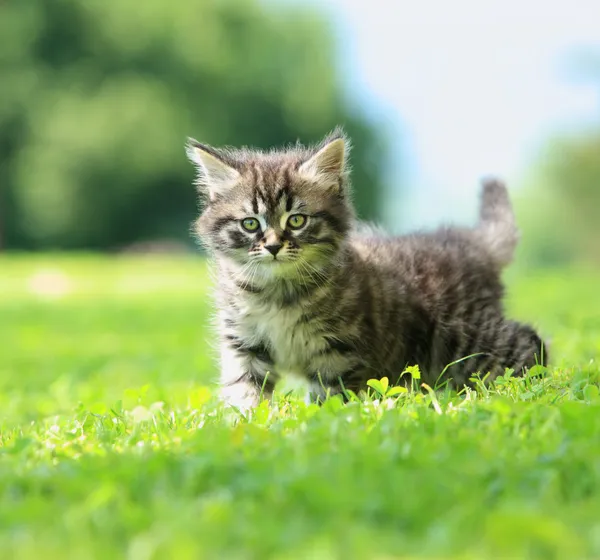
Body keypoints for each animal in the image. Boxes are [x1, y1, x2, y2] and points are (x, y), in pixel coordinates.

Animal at [185, 129, 548, 410]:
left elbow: (329, 398)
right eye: (250, 224)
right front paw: (247, 424)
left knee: (527, 339)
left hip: (463, 336)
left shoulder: (339, 351)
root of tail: (470, 241)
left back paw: (529, 389)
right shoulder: (243, 344)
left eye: (297, 220)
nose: (273, 246)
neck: (278, 292)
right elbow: (244, 391)